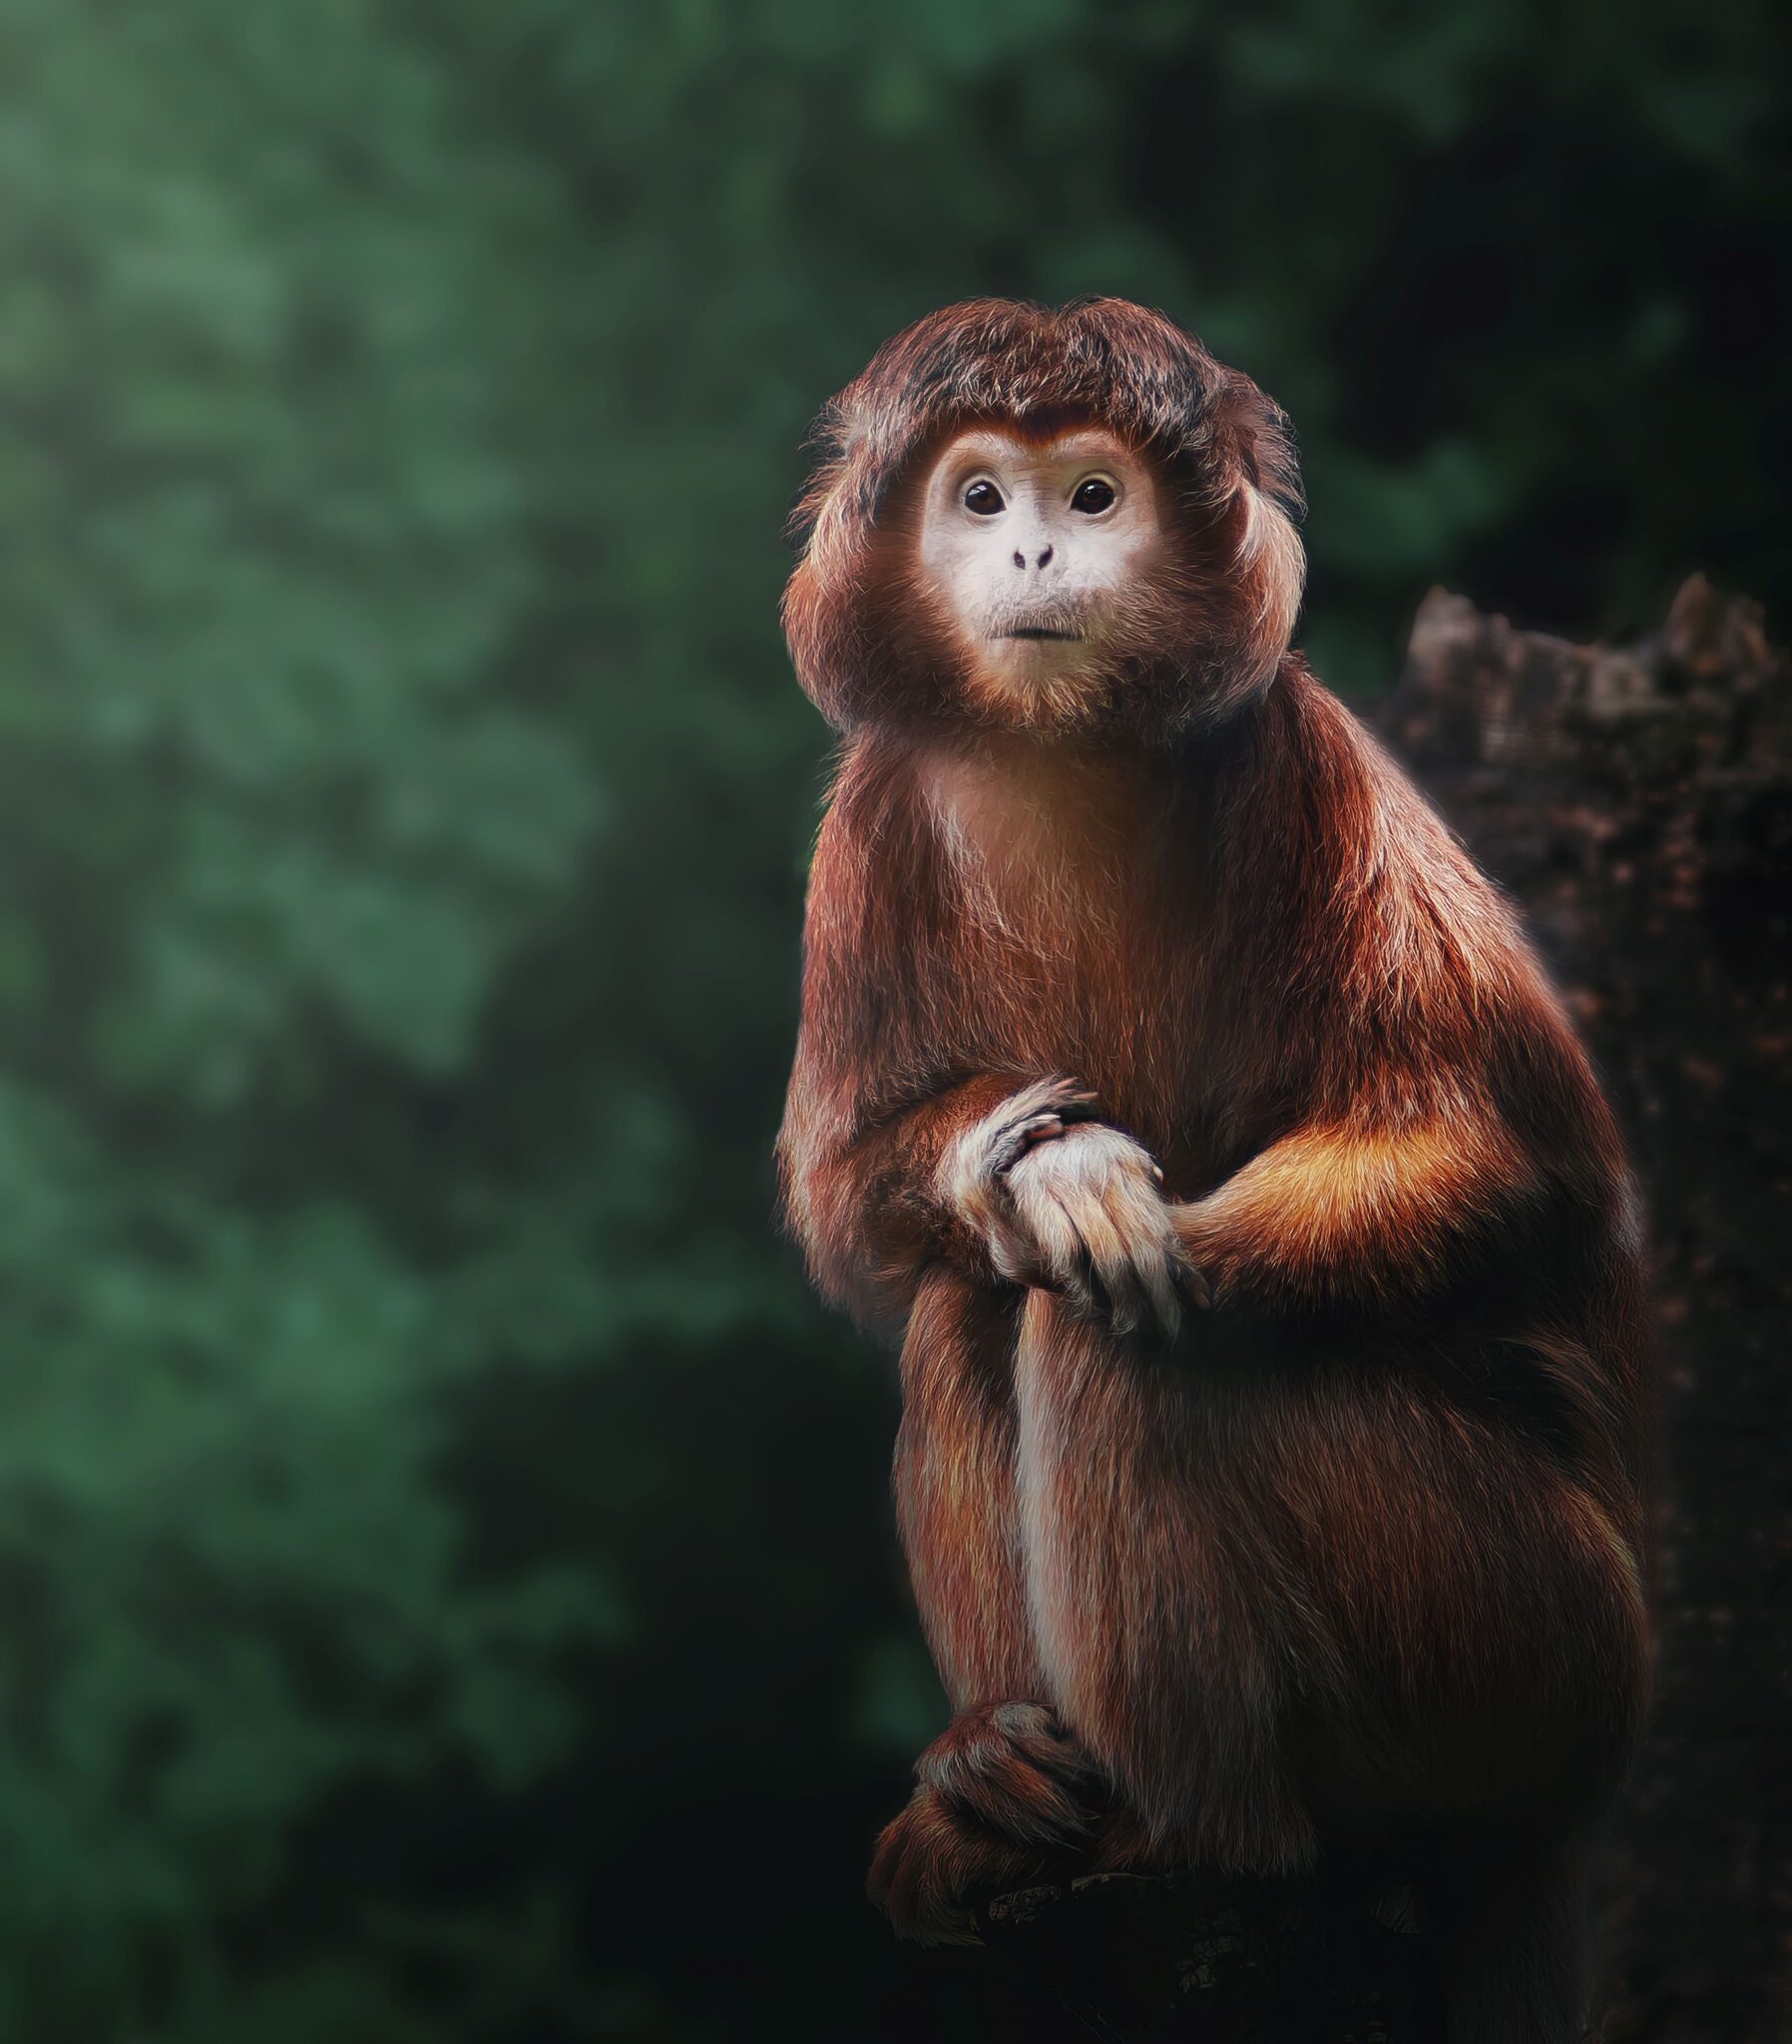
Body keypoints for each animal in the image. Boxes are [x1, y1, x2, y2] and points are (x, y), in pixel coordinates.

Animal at [775, 298, 1652, 2042]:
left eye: (1093, 495)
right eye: (983, 497)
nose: (1035, 551)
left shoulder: (1301, 762)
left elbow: (1507, 1159)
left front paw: (1121, 1209)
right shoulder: (872, 817)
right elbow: (845, 1196)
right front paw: (1044, 1162)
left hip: (1528, 1642)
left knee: (1114, 1337)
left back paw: (1198, 1833)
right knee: (967, 1300)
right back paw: (994, 1786)